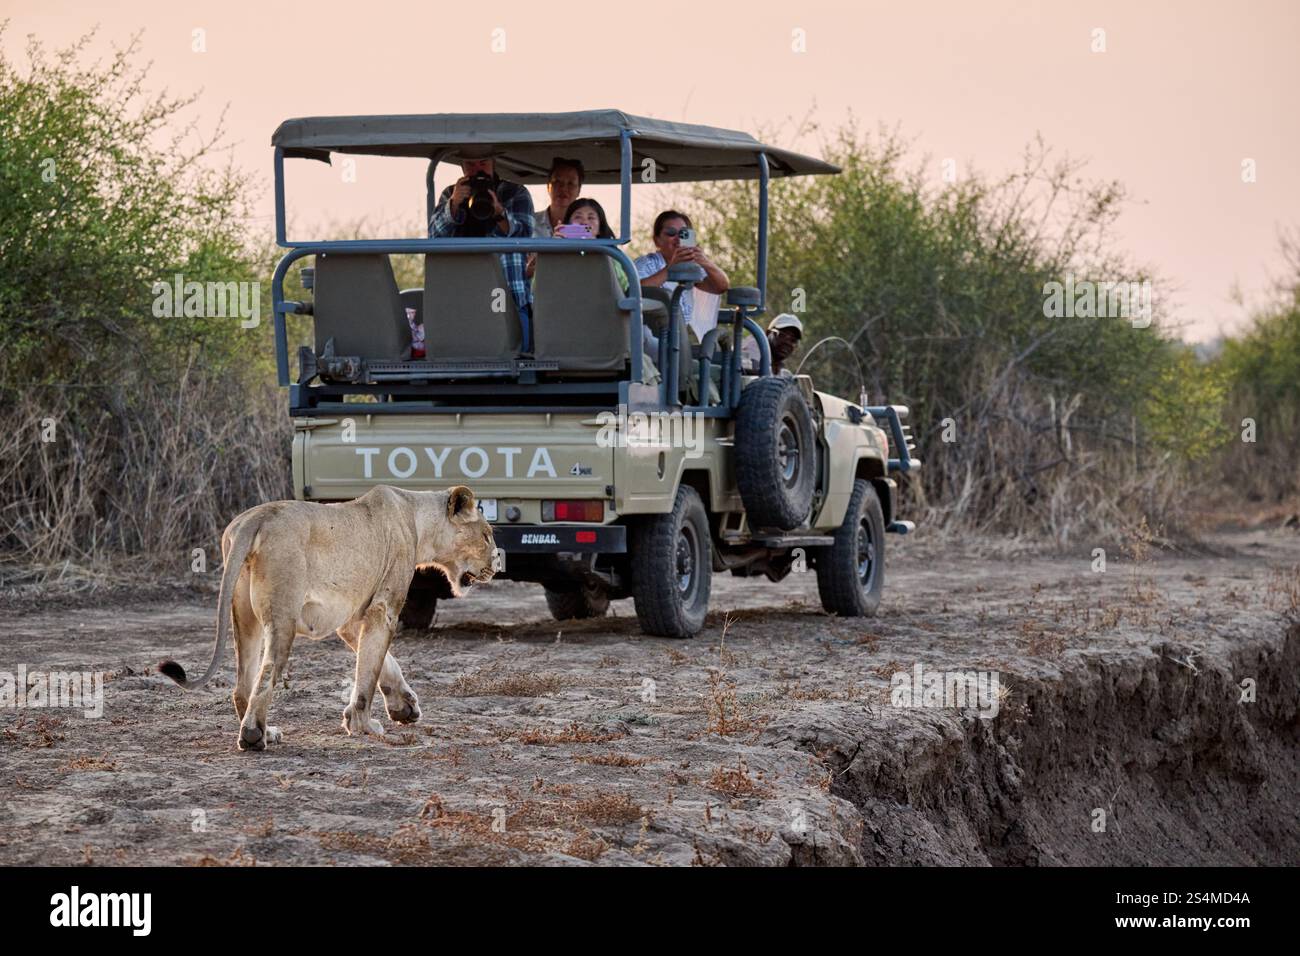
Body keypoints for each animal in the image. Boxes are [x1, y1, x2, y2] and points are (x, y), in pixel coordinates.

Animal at [159, 484, 495, 751]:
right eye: (486, 535)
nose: (497, 563)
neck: (418, 519)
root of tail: (253, 518)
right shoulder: (383, 608)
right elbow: (369, 671)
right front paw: (363, 725)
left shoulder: (351, 618)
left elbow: (383, 663)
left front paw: (404, 707)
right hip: (283, 617)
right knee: (266, 673)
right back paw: (254, 736)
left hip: (244, 617)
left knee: (242, 685)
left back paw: (267, 730)